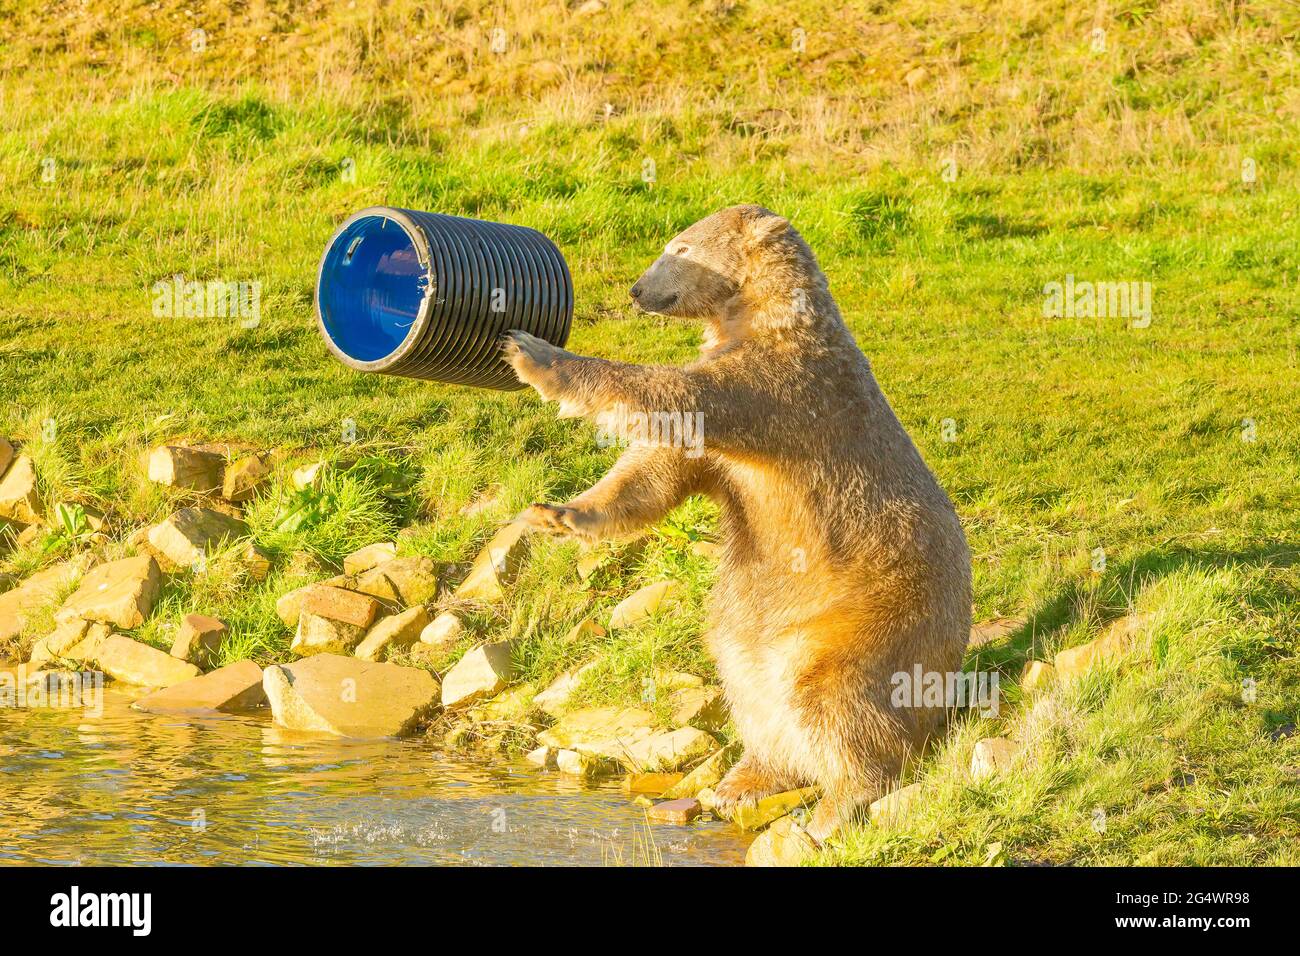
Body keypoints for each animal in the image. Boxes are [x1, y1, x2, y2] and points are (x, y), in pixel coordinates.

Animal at [501, 204, 971, 842]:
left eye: (679, 247)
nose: (638, 289)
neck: (769, 319)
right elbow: (657, 472)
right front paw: (555, 514)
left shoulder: (780, 387)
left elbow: (674, 396)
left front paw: (534, 352)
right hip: (761, 623)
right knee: (746, 676)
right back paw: (747, 779)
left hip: (876, 611)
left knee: (836, 696)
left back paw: (838, 803)